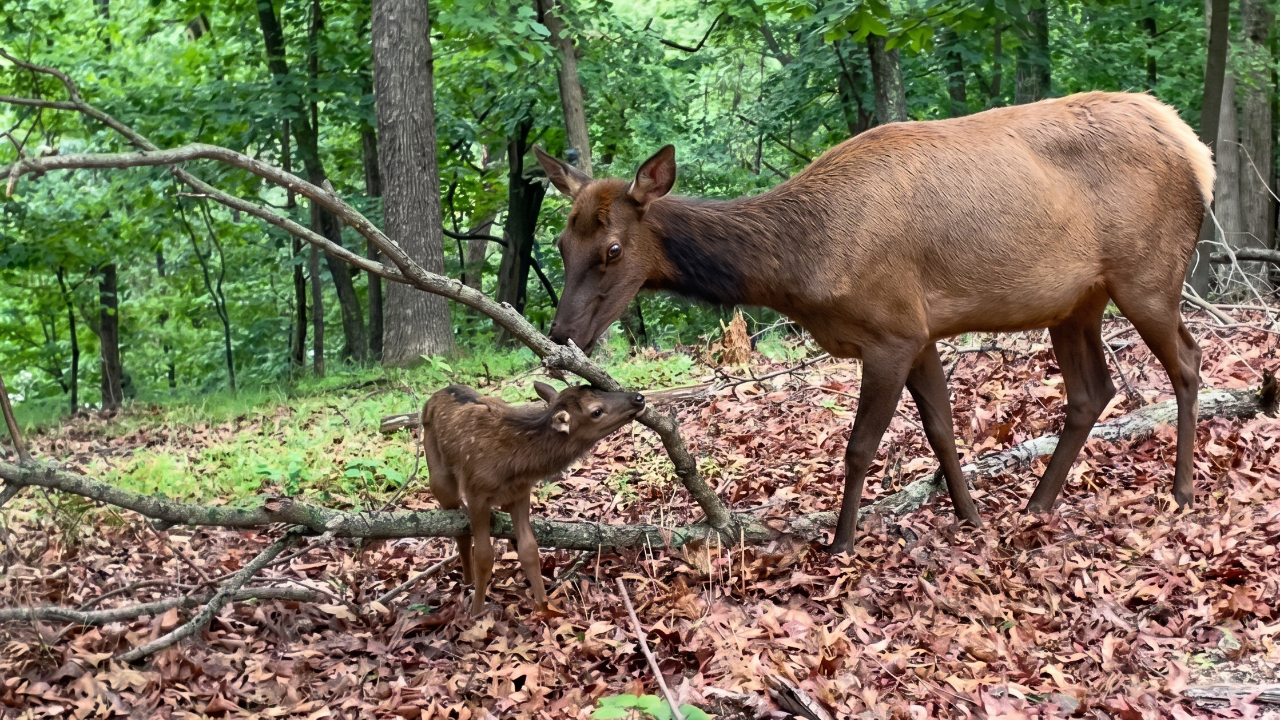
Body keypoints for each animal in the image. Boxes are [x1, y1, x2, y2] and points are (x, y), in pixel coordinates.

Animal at [422, 382, 645, 616]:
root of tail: (434, 396)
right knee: (457, 526)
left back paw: (468, 580)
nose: (638, 398)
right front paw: (476, 613)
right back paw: (468, 581)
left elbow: (529, 549)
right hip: (438, 475)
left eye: (599, 389)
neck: (516, 466)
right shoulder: (477, 492)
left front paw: (545, 608)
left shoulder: (520, 492)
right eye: (596, 411)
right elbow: (484, 556)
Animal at [534, 91, 1212, 555]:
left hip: (1148, 274)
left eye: (612, 249)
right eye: (562, 245)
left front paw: (841, 542)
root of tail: (1195, 148)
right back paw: (1038, 502)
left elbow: (861, 445)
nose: (562, 334)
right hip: (1077, 300)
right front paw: (971, 518)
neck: (802, 270)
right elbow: (941, 430)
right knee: (1092, 389)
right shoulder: (921, 331)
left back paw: (1182, 491)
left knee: (1187, 360)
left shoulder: (891, 332)